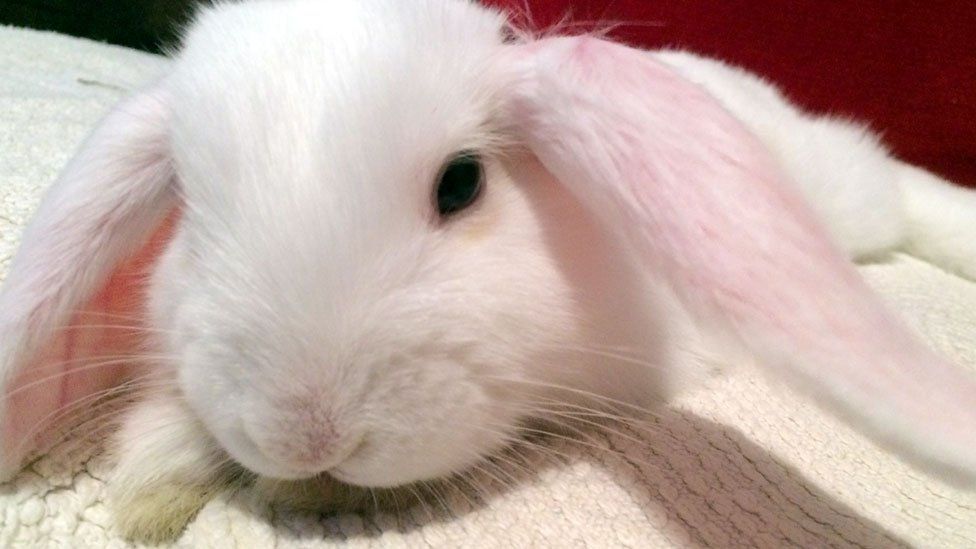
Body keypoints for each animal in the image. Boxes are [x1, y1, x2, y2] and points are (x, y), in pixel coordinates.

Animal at [0, 0, 974, 542]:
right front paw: (152, 487)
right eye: (191, 207)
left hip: (844, 191)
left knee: (895, 183)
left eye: (462, 182)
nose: (311, 438)